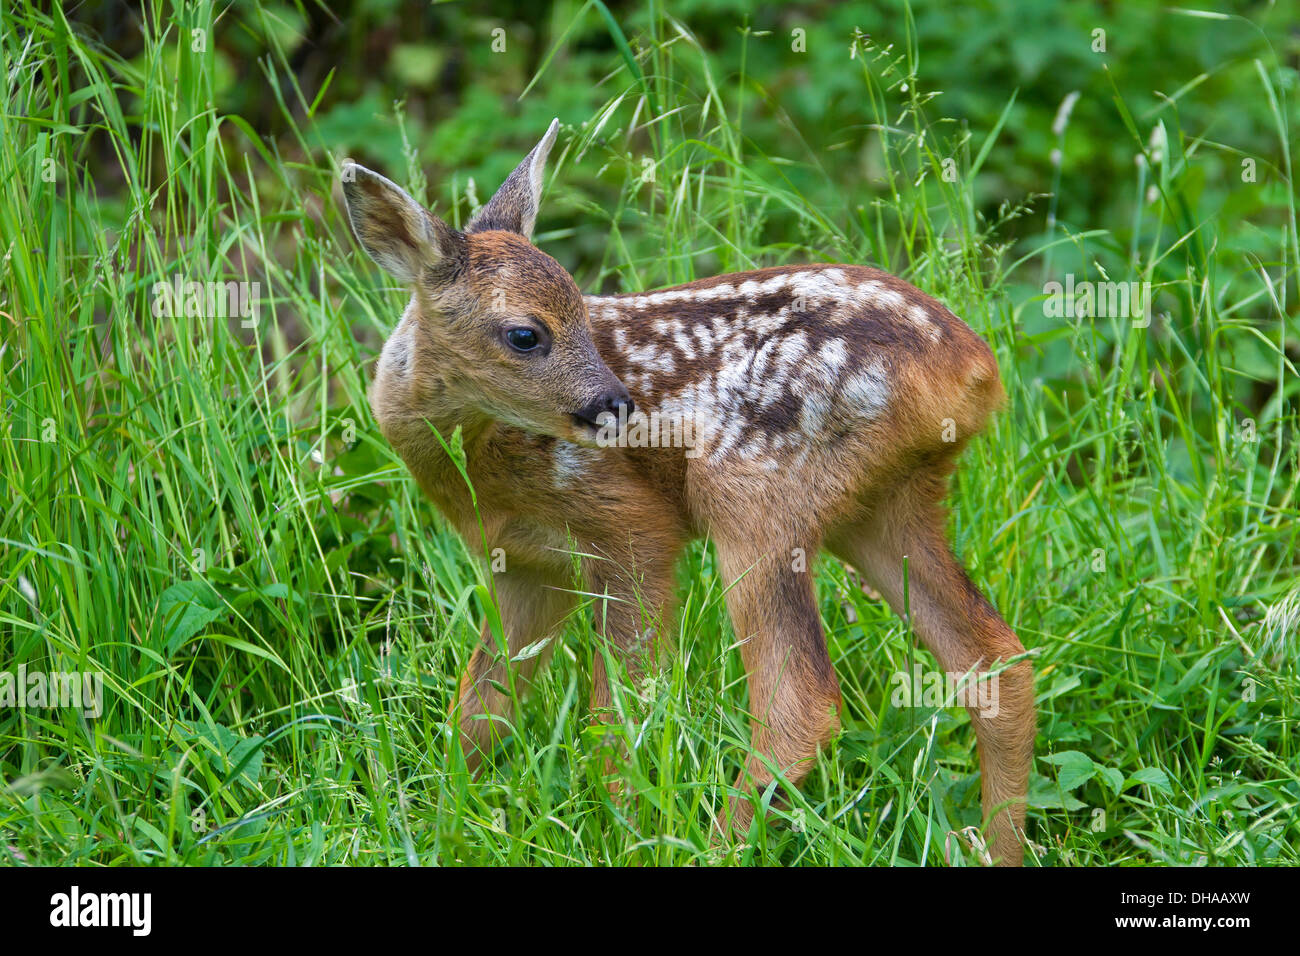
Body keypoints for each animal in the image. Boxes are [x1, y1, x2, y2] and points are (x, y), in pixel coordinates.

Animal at [340, 119, 1036, 865]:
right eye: (525, 333)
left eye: (581, 307)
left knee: (800, 704)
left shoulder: (631, 526)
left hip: (752, 496)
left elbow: (620, 714)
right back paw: (999, 846)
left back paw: (711, 843)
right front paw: (439, 826)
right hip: (884, 507)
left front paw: (622, 829)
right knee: (995, 659)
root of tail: (971, 368)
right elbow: (481, 712)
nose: (616, 405)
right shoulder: (526, 563)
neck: (482, 472)